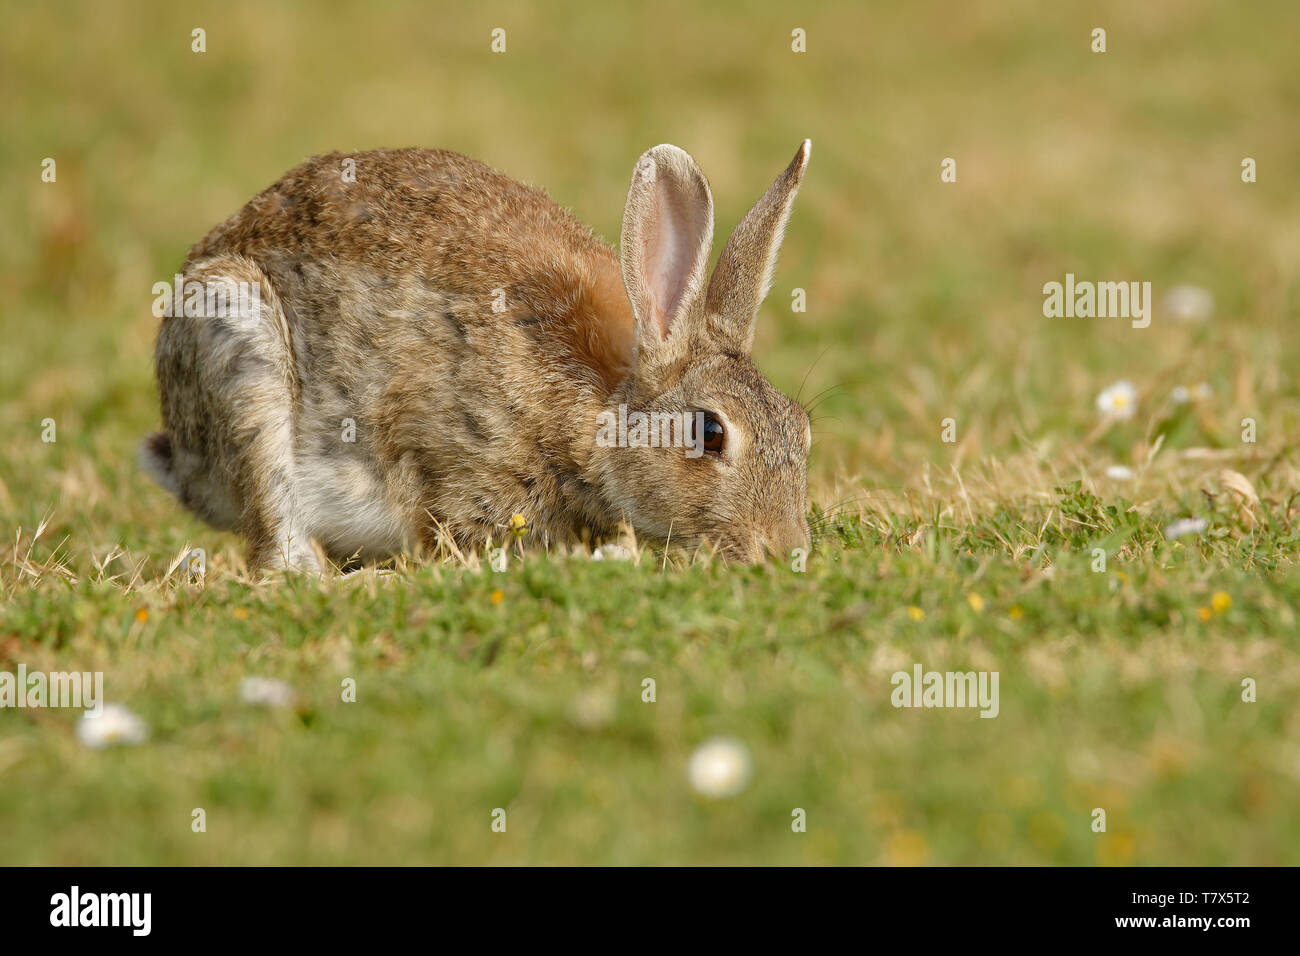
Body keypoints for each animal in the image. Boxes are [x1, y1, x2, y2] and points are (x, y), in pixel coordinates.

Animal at [141, 141, 814, 571]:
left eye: (802, 429)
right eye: (708, 432)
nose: (786, 550)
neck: (596, 411)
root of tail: (183, 464)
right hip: (237, 344)